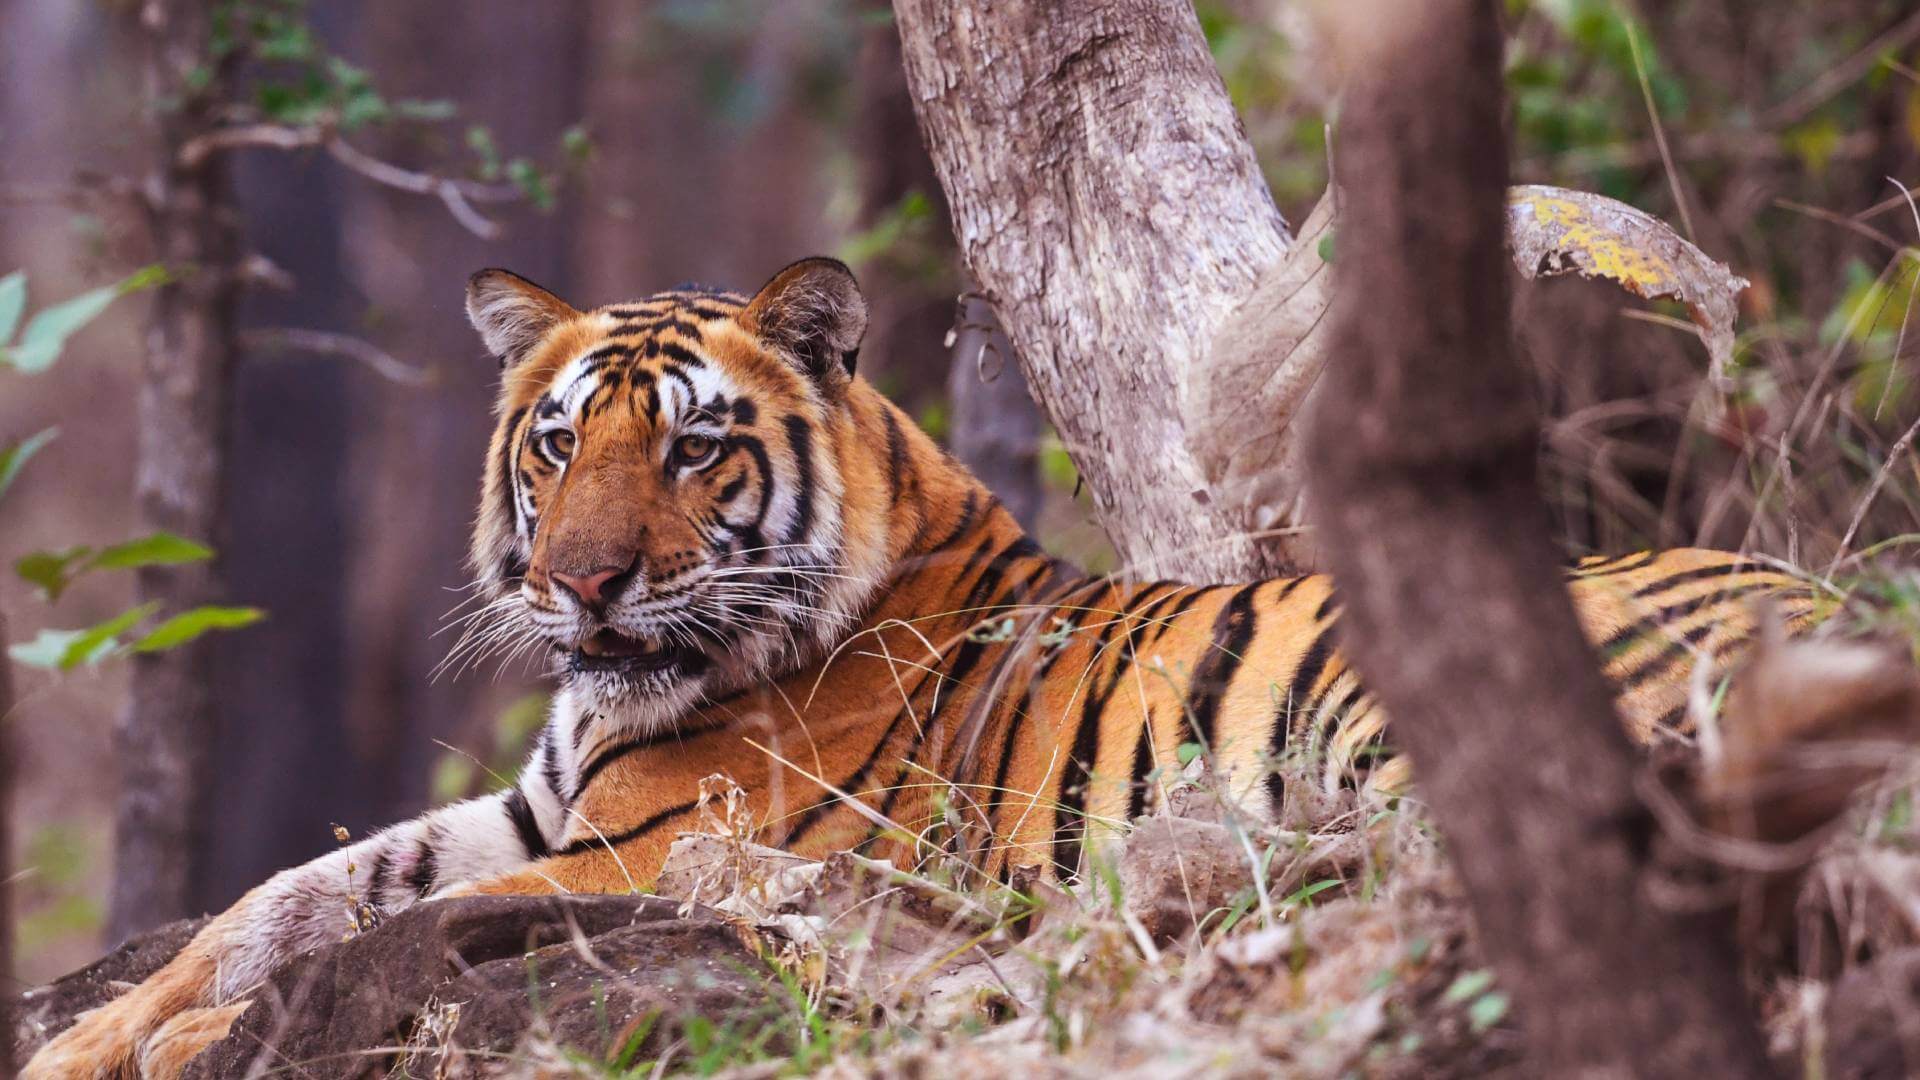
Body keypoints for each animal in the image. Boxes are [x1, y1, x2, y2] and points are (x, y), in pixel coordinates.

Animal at [26, 257, 1818, 1078]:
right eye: (556, 442)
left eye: (691, 451)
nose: (580, 582)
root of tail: (1821, 590)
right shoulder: (529, 814)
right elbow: (278, 905)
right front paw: (86, 1039)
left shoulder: (646, 850)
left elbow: (367, 936)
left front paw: (179, 1051)